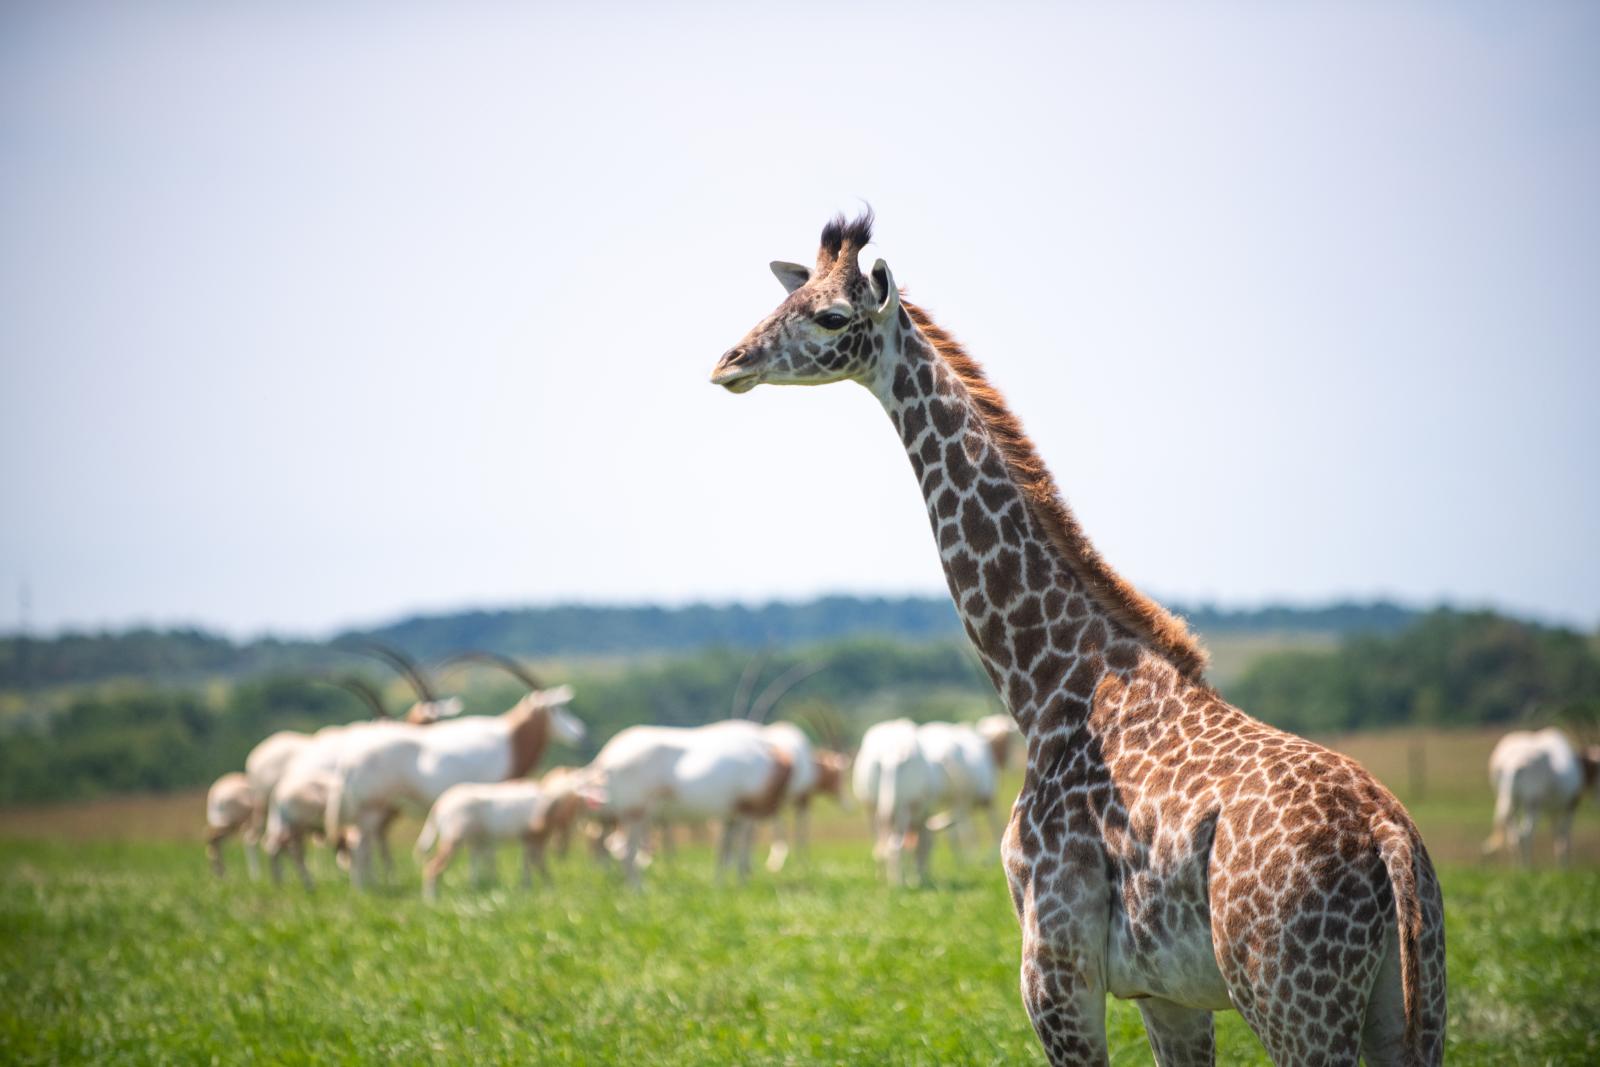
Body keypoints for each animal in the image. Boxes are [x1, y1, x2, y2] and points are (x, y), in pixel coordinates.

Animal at [709, 212, 1445, 1066]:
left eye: (830, 316)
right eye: (787, 298)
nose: (729, 362)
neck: (1052, 685)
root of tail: (1390, 842)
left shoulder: (1055, 969)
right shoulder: (1168, 994)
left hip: (1294, 1004)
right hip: (1412, 1004)